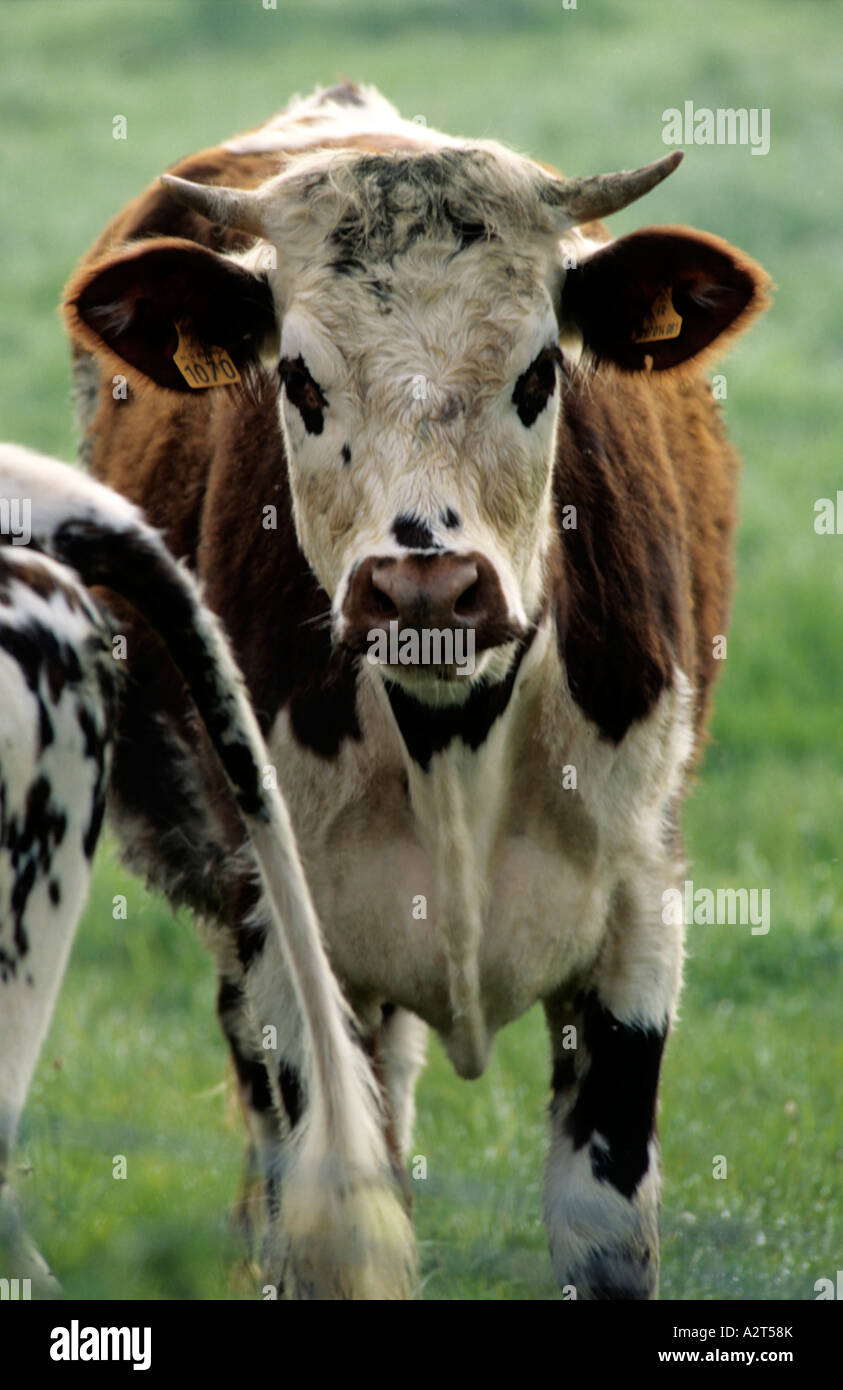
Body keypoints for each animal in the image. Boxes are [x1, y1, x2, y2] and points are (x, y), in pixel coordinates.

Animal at [61, 81, 770, 1299]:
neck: (455, 736)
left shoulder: (640, 914)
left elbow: (604, 1223)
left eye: (540, 373)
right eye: (300, 378)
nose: (425, 586)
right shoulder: (284, 940)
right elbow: (335, 1223)